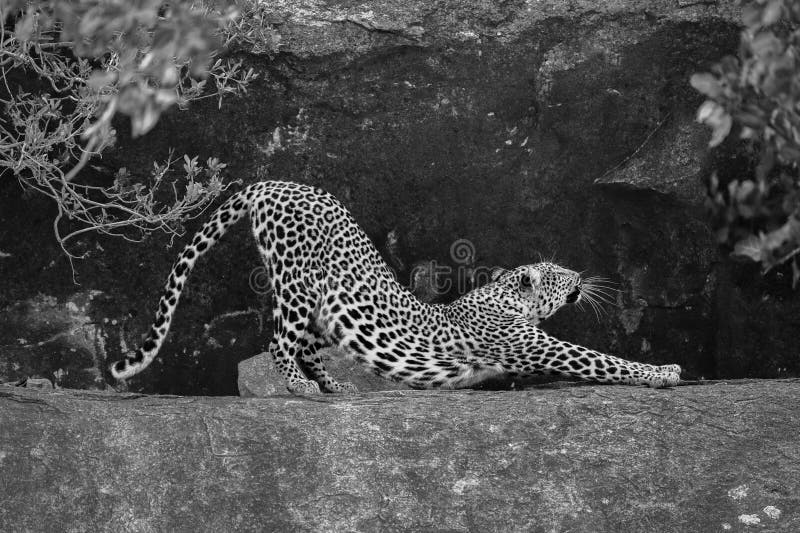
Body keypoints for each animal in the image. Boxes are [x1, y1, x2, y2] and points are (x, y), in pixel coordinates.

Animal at [109, 180, 682, 393]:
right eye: (561, 276)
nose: (581, 279)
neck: (501, 298)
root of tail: (273, 182)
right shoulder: (533, 345)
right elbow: (601, 359)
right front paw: (663, 371)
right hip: (295, 281)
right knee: (279, 341)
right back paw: (298, 387)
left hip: (327, 305)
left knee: (309, 345)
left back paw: (333, 387)